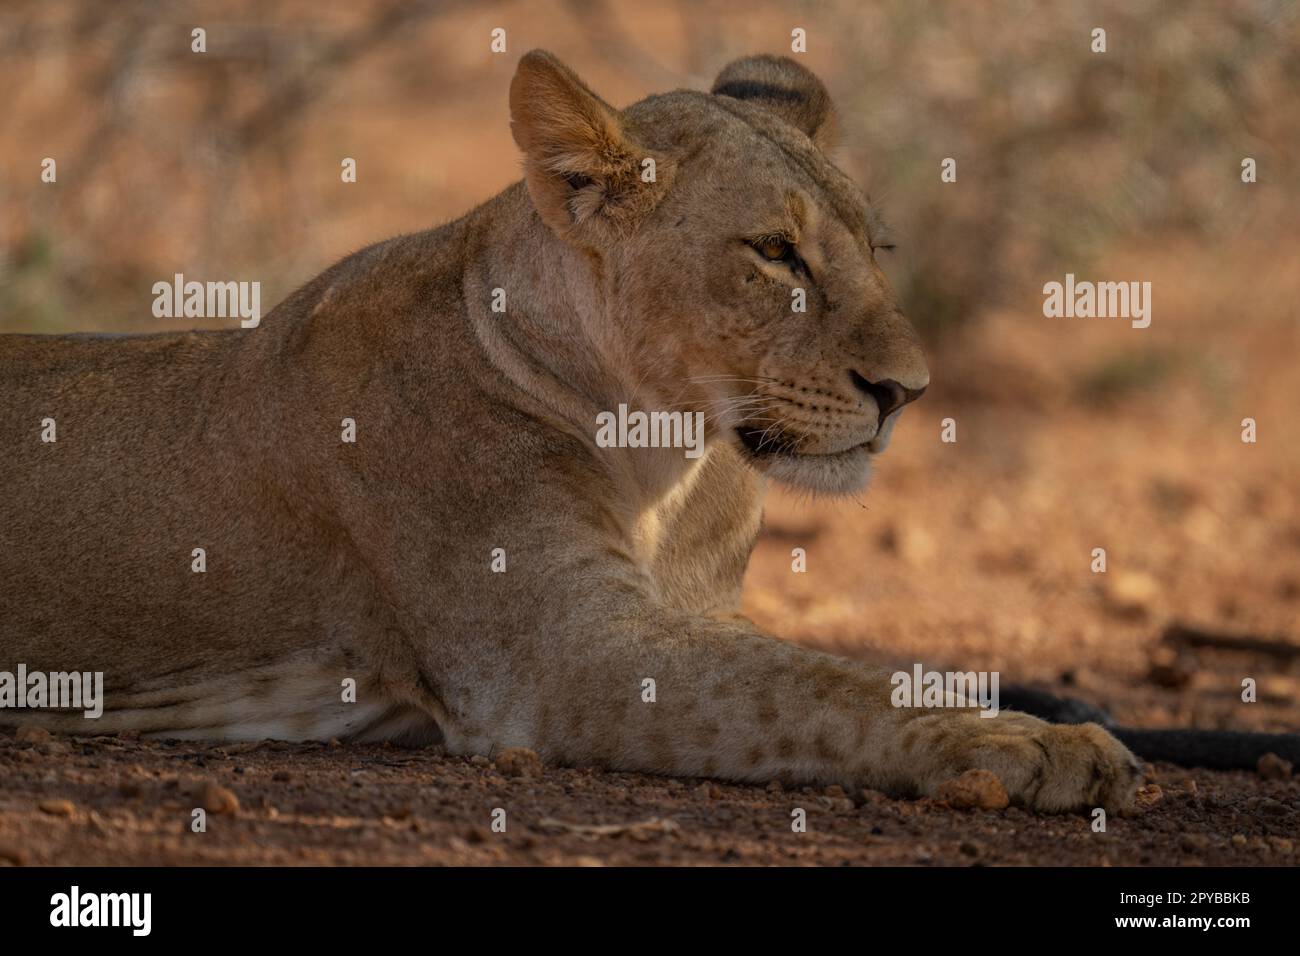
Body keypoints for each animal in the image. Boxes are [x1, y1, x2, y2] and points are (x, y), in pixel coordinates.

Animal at [0, 51, 1142, 813]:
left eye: (877, 249)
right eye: (775, 253)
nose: (906, 390)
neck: (669, 451)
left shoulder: (692, 612)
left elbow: (857, 667)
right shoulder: (570, 654)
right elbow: (823, 685)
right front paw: (1043, 744)